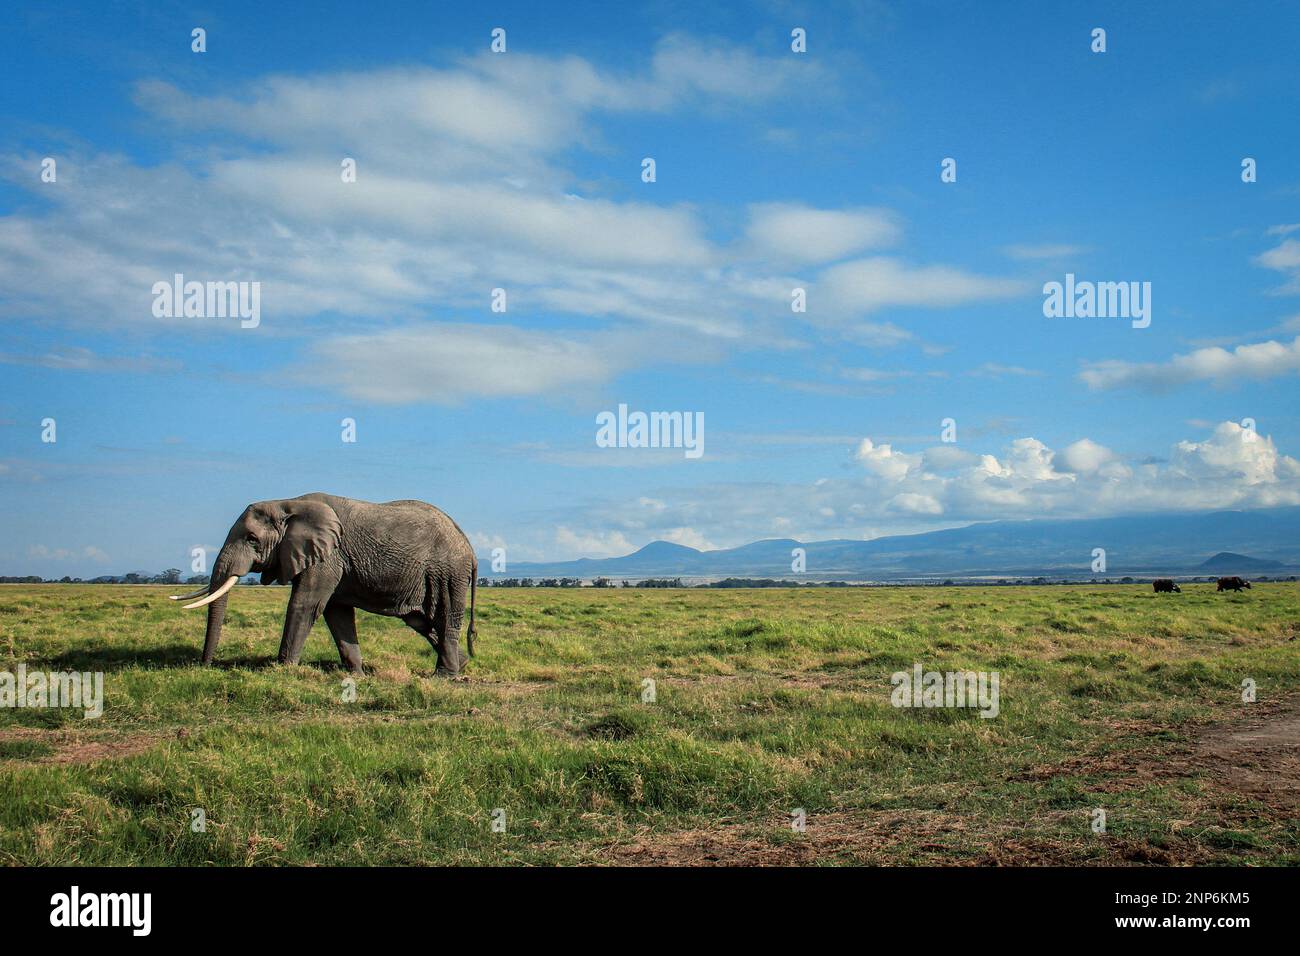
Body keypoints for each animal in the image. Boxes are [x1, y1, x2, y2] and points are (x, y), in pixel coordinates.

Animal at [170, 493, 477, 676]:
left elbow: (305, 604)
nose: (204, 666)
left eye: (252, 539)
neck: (287, 503)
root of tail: (469, 546)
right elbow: (336, 612)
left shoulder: (328, 556)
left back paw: (445, 676)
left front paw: (281, 670)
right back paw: (460, 664)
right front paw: (356, 675)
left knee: (444, 617)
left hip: (447, 573)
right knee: (420, 621)